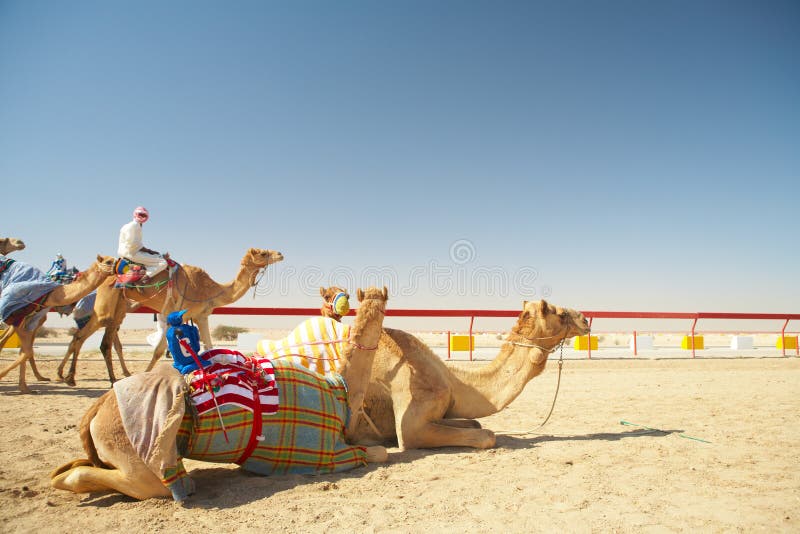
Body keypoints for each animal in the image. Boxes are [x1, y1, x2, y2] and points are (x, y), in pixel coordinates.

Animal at [0, 255, 117, 393]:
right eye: (108, 261)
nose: (122, 264)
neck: (51, 294)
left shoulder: (27, 318)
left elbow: (26, 351)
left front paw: (24, 388)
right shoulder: (13, 312)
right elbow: (26, 350)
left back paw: (41, 377)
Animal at [51, 286, 389, 501]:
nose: (345, 306)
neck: (340, 390)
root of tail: (96, 409)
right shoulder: (319, 453)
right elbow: (376, 453)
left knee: (76, 469)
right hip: (141, 462)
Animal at [57, 248, 284, 385]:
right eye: (263, 253)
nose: (280, 254)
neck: (210, 289)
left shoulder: (201, 316)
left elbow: (209, 347)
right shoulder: (174, 314)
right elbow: (160, 350)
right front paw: (148, 375)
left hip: (117, 308)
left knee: (82, 336)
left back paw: (68, 377)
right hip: (108, 306)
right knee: (101, 341)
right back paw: (109, 379)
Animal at [342, 299, 590, 450]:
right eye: (560, 314)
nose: (585, 320)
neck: (453, 381)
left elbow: (475, 423)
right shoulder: (410, 424)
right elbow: (487, 435)